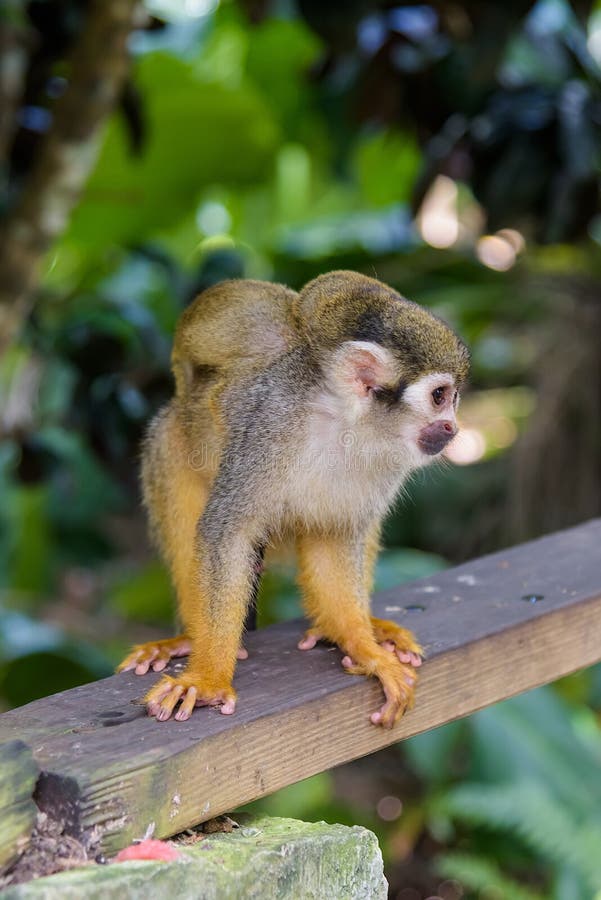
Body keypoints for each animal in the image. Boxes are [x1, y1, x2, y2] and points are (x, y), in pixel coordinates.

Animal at [117, 270, 470, 728]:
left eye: (452, 398)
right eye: (440, 396)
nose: (452, 428)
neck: (345, 423)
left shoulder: (390, 461)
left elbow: (333, 539)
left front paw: (367, 650)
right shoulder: (270, 425)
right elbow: (227, 535)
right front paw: (208, 678)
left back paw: (351, 627)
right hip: (174, 442)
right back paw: (188, 640)